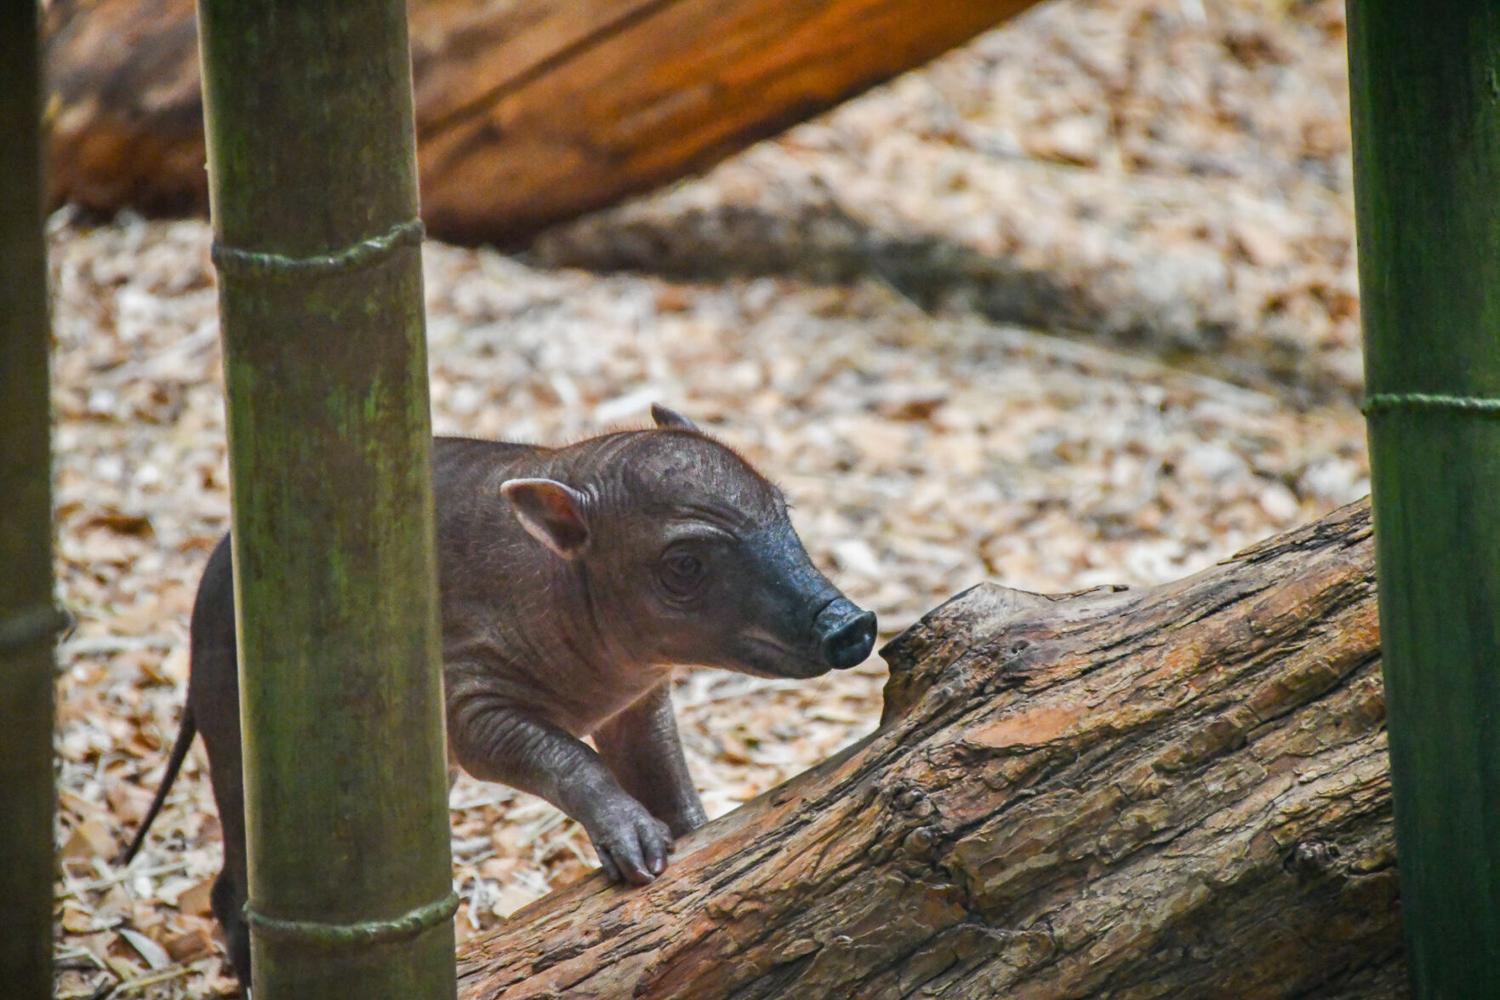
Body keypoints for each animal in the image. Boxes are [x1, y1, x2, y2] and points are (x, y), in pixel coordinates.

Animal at [121, 405, 877, 987]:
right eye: (685, 565)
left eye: (783, 509)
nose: (854, 626)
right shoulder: (469, 703)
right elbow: (570, 757)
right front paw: (634, 849)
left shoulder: (638, 702)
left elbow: (666, 773)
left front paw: (692, 833)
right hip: (233, 730)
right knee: (232, 883)